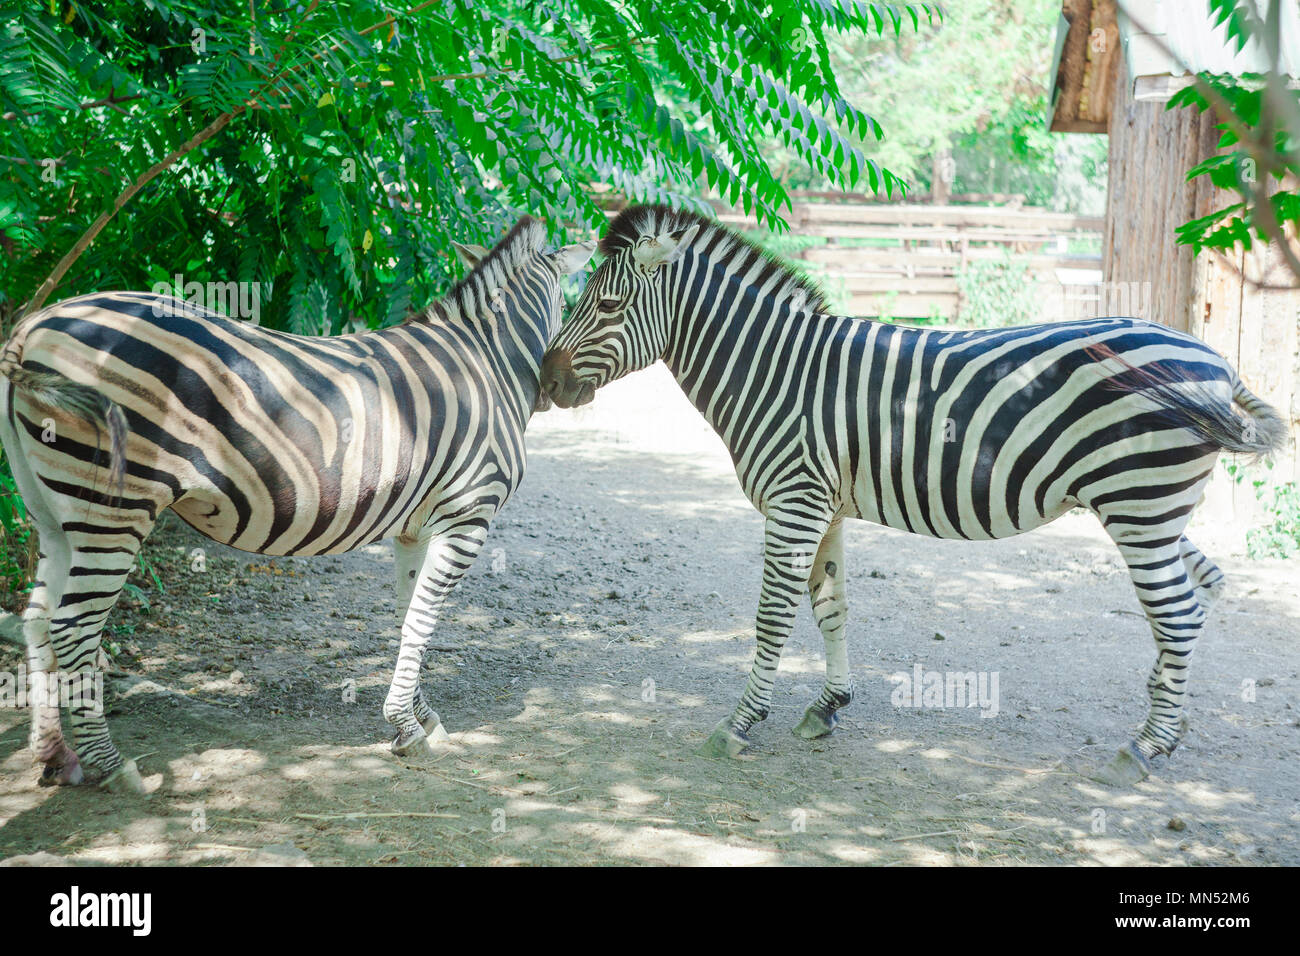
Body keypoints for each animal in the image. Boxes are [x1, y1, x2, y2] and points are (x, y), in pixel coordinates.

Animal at [0, 216, 594, 794]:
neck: (487, 364)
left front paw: (418, 717)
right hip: (114, 509)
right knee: (73, 627)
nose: (562, 391)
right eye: (570, 306)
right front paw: (407, 727)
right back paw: (112, 765)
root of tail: (36, 323)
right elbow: (425, 619)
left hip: (53, 512)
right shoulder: (469, 513)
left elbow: (410, 617)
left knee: (37, 622)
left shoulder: (418, 527)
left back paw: (56, 757)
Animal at [540, 204, 1286, 786]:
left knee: (1178, 614)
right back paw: (1168, 726)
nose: (545, 381)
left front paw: (740, 722)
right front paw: (828, 705)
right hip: (1152, 510)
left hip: (1139, 506)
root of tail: (1218, 363)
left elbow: (773, 616)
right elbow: (831, 607)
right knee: (1198, 595)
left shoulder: (794, 501)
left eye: (606, 305)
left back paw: (1146, 745)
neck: (775, 369)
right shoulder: (824, 504)